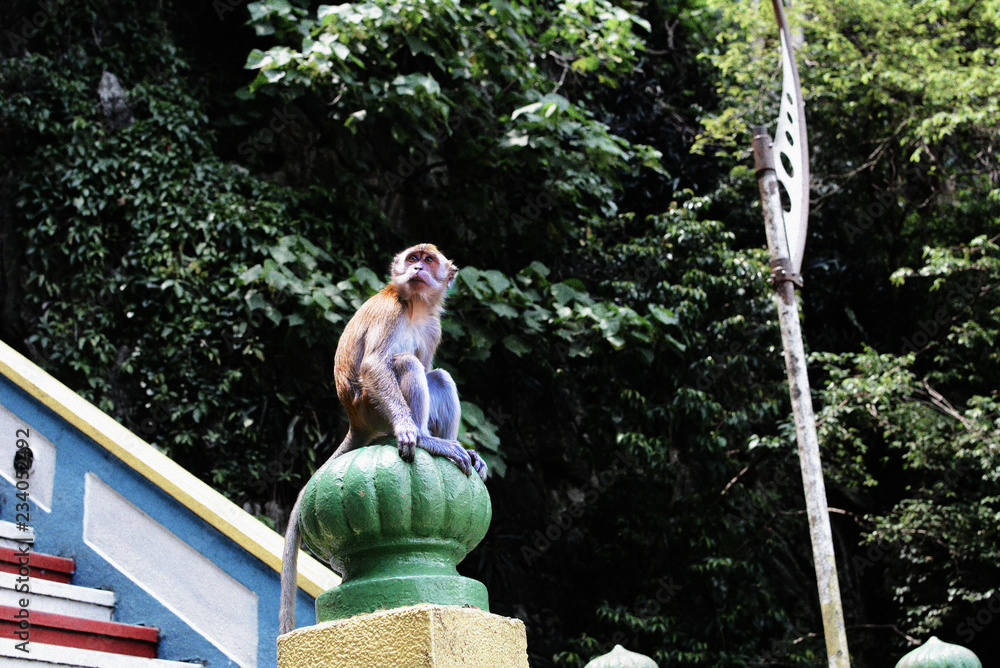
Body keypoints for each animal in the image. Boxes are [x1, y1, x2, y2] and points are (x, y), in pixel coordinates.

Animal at [278, 243, 488, 635]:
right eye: (413, 258)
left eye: (429, 260)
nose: (418, 268)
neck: (415, 306)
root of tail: (355, 420)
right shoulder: (391, 310)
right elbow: (376, 364)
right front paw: (408, 429)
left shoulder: (433, 326)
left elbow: (429, 366)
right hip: (373, 406)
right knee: (405, 362)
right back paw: (426, 439)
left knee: (437, 374)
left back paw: (449, 445)